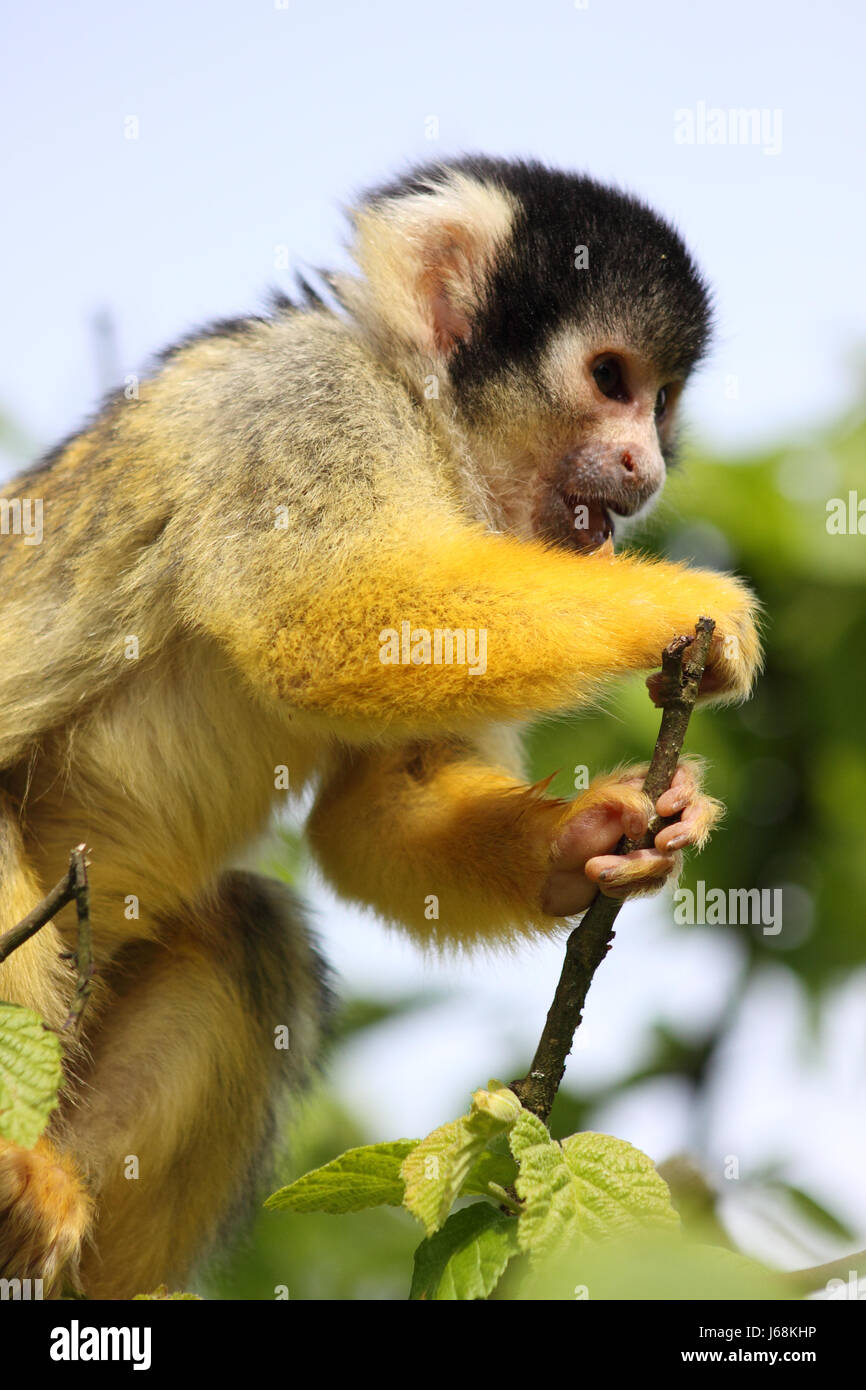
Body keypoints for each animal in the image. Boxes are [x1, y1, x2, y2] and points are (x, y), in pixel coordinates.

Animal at [0, 155, 761, 1298]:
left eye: (659, 400)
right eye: (610, 379)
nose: (646, 465)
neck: (420, 422)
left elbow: (373, 811)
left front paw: (607, 830)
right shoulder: (306, 404)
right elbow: (327, 622)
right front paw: (675, 600)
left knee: (252, 933)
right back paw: (22, 1175)